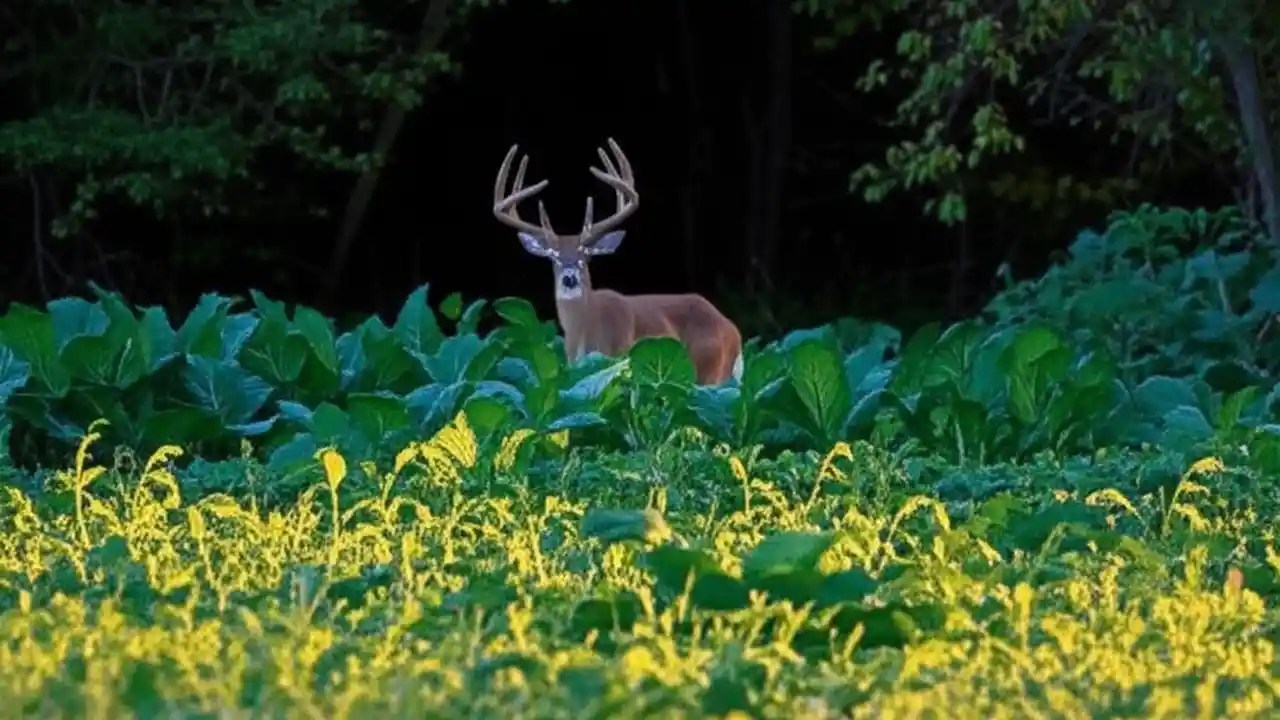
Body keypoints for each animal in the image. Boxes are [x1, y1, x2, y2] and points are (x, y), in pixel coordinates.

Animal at [491, 138, 743, 386]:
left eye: (586, 255)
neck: (583, 333)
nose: (569, 278)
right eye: (553, 256)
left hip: (710, 374)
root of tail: (734, 332)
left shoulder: (618, 359)